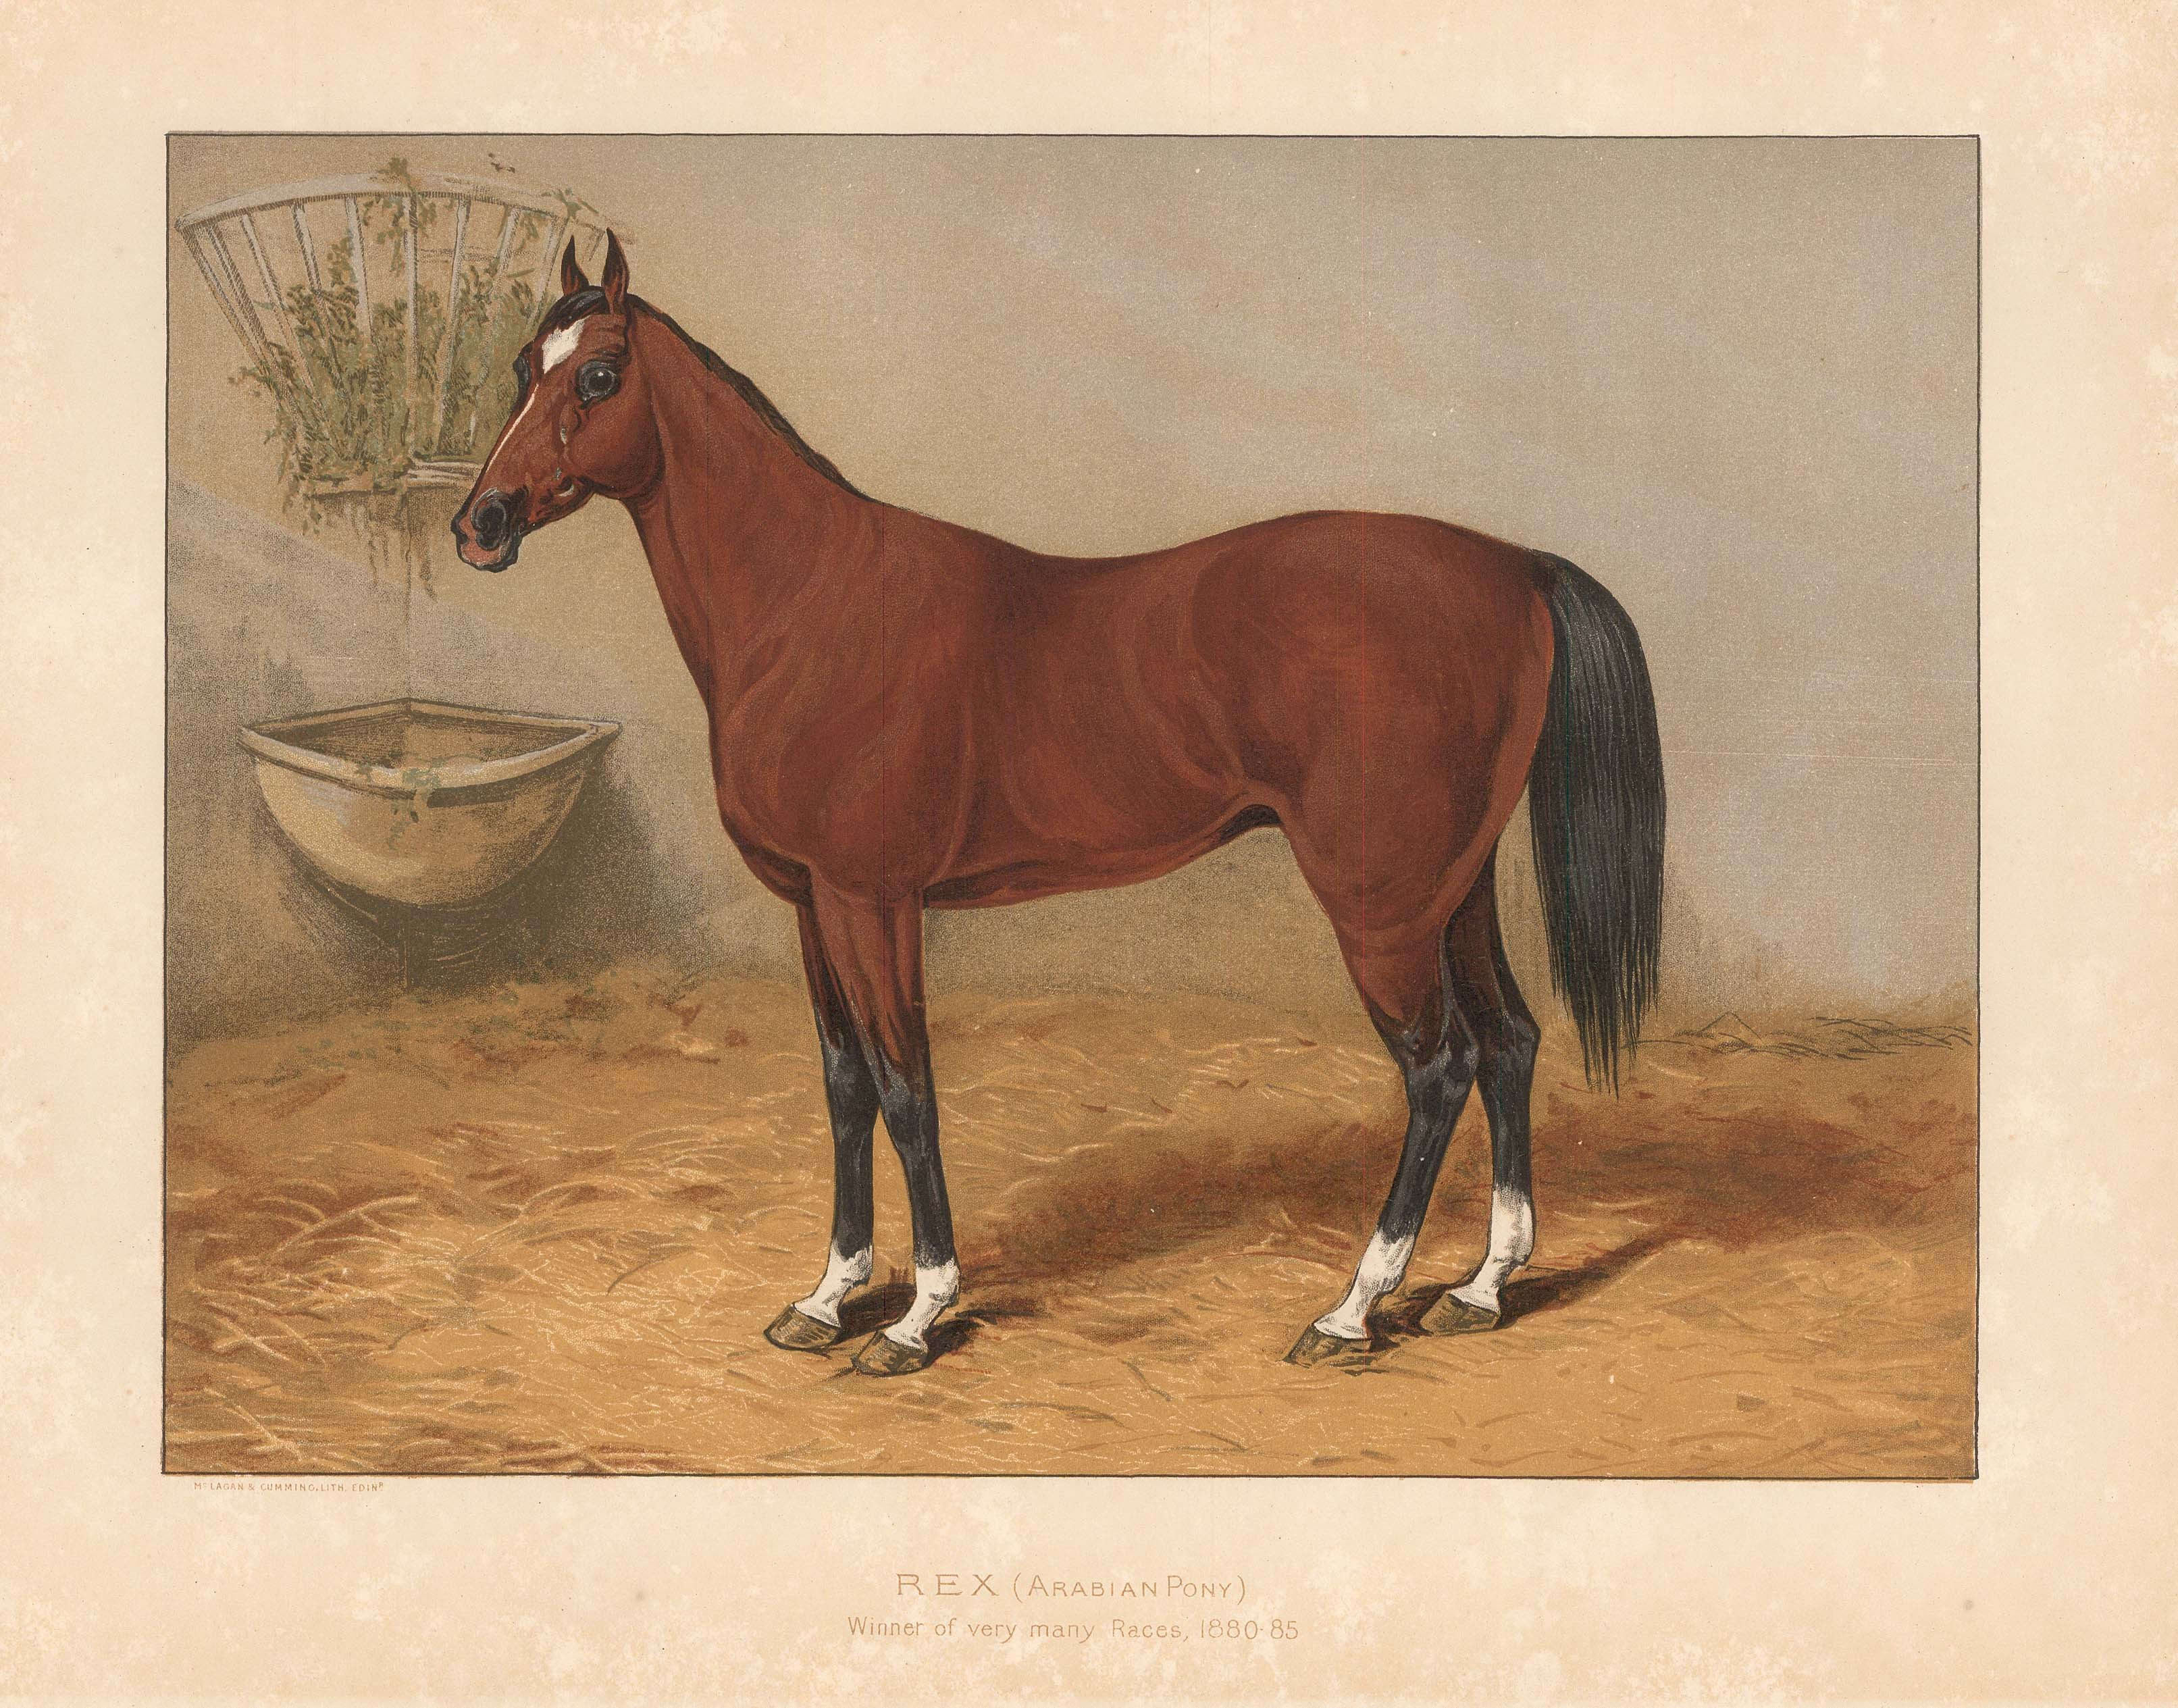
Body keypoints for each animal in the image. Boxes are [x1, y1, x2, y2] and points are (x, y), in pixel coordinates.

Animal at [453, 234, 1665, 1377]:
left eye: (599, 375)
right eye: (521, 367)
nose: (482, 522)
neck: (813, 605)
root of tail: (1515, 568)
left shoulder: (873, 900)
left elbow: (905, 1085)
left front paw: (918, 1315)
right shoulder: (811, 904)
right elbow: (845, 1086)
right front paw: (828, 1296)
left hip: (1379, 905)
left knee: (1438, 1065)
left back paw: (1351, 1308)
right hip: (1449, 889)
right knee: (1508, 1041)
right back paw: (1481, 1288)